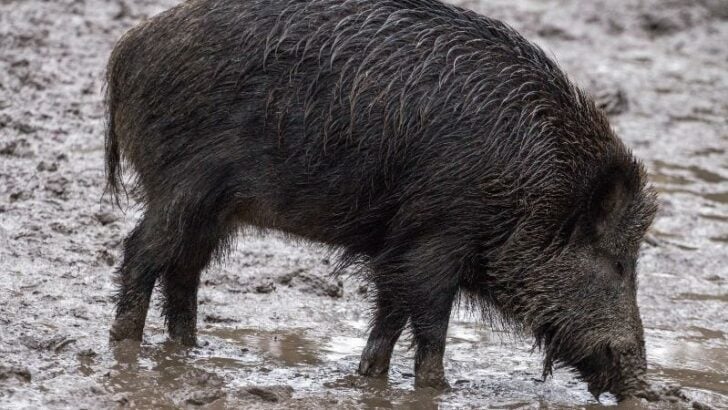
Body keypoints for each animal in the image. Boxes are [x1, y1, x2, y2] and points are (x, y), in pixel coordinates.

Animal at [104, 0, 658, 400]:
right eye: (618, 265)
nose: (645, 390)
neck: (530, 188)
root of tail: (126, 50)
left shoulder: (402, 246)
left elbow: (391, 316)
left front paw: (369, 377)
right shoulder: (438, 234)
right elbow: (431, 323)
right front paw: (439, 389)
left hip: (216, 210)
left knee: (185, 269)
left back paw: (190, 349)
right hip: (184, 185)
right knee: (142, 252)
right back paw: (126, 344)